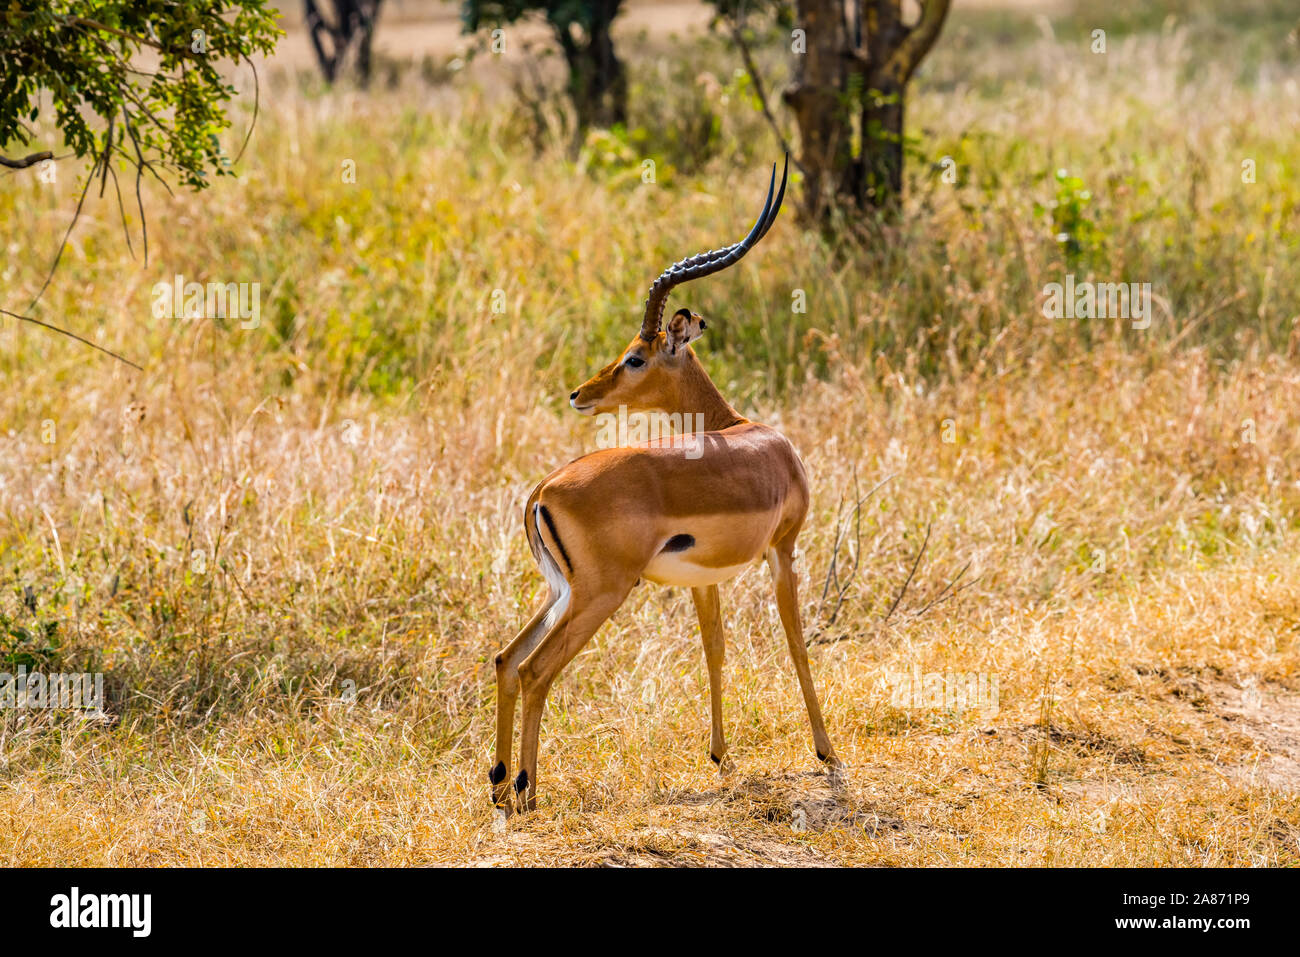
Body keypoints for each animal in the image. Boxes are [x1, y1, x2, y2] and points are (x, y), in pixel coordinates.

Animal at [491, 156, 841, 813]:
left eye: (635, 356)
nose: (578, 393)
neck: (751, 437)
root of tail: (543, 490)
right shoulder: (783, 549)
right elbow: (797, 644)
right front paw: (827, 753)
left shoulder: (703, 578)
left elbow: (714, 649)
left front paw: (720, 755)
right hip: (601, 594)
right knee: (534, 670)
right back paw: (526, 789)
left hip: (562, 592)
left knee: (505, 658)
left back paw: (499, 783)